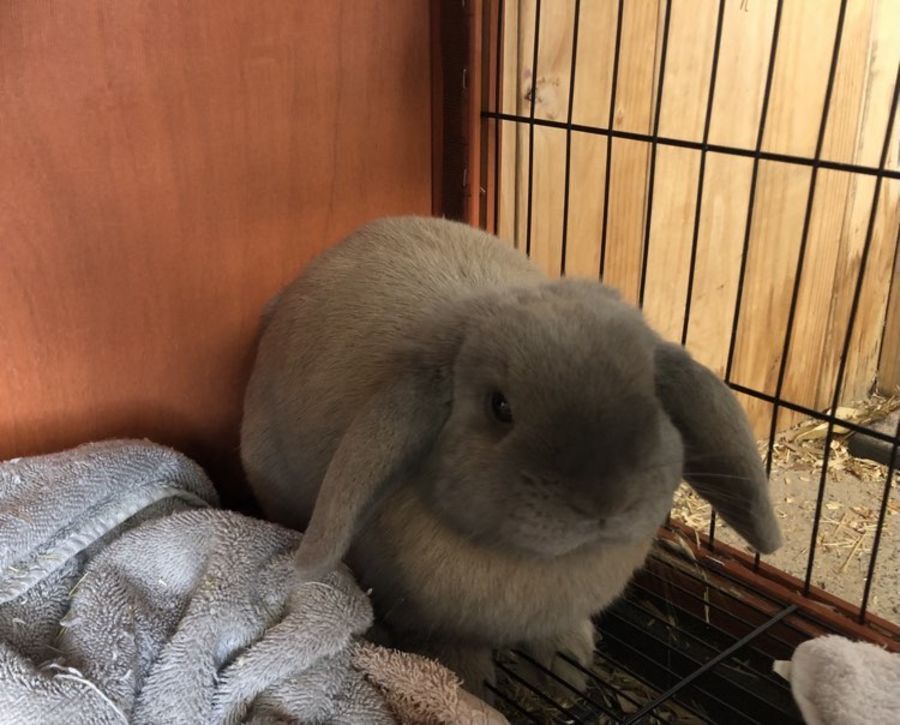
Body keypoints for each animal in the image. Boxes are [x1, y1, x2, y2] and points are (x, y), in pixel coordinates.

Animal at [240, 216, 782, 696]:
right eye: (500, 407)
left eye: (653, 391)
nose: (606, 500)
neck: (541, 562)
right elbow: (456, 648)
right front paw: (473, 684)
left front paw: (568, 670)